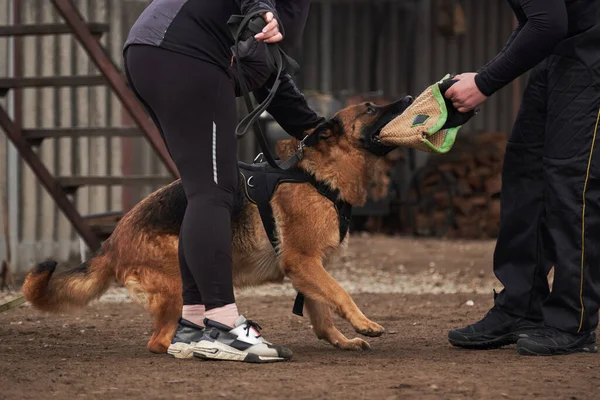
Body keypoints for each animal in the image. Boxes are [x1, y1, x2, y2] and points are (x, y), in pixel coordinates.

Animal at [24, 96, 418, 354]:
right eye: (370, 108)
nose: (409, 97)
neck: (319, 176)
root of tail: (111, 242)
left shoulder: (308, 269)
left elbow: (322, 314)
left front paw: (342, 340)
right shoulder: (303, 261)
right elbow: (339, 293)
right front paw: (364, 322)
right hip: (179, 280)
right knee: (159, 341)